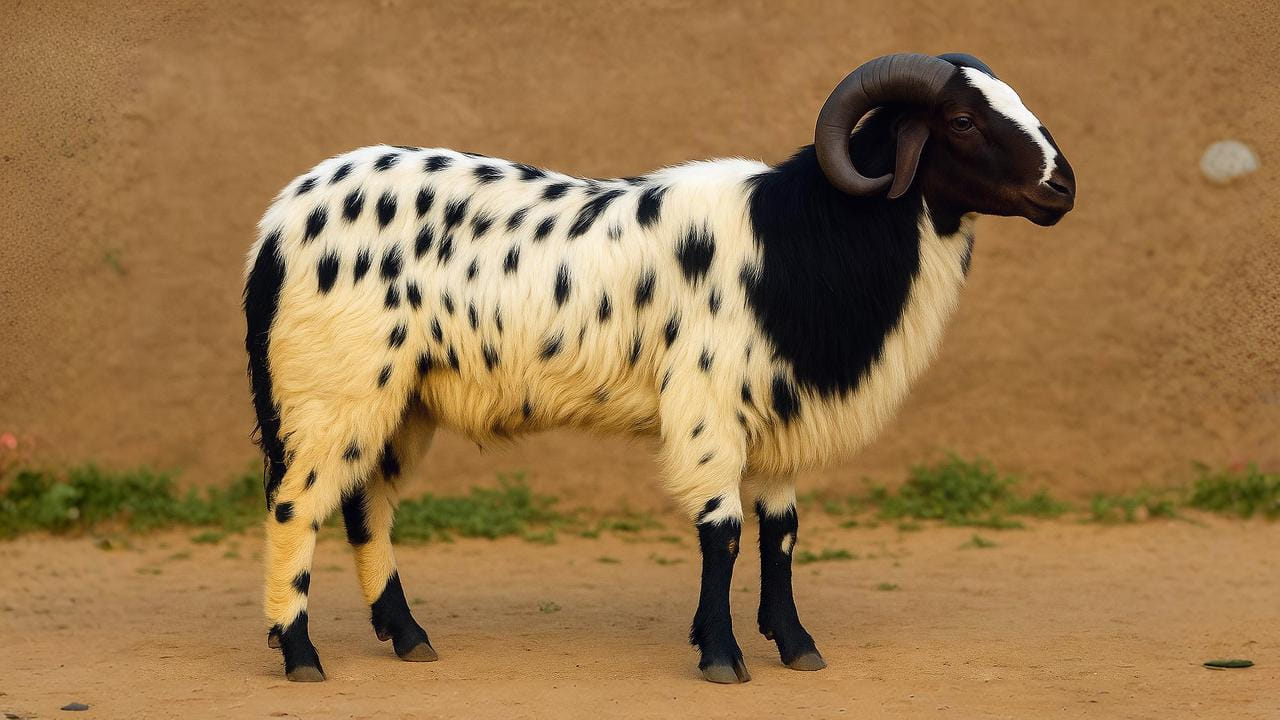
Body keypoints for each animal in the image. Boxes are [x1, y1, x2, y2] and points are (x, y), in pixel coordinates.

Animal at [244, 52, 1075, 684]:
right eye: (962, 121)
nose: (1063, 187)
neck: (800, 237)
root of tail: (278, 224)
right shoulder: (710, 406)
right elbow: (724, 530)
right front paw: (721, 657)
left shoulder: (776, 413)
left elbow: (782, 531)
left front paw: (796, 646)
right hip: (332, 389)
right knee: (295, 507)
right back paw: (301, 655)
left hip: (403, 399)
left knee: (366, 507)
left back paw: (409, 638)